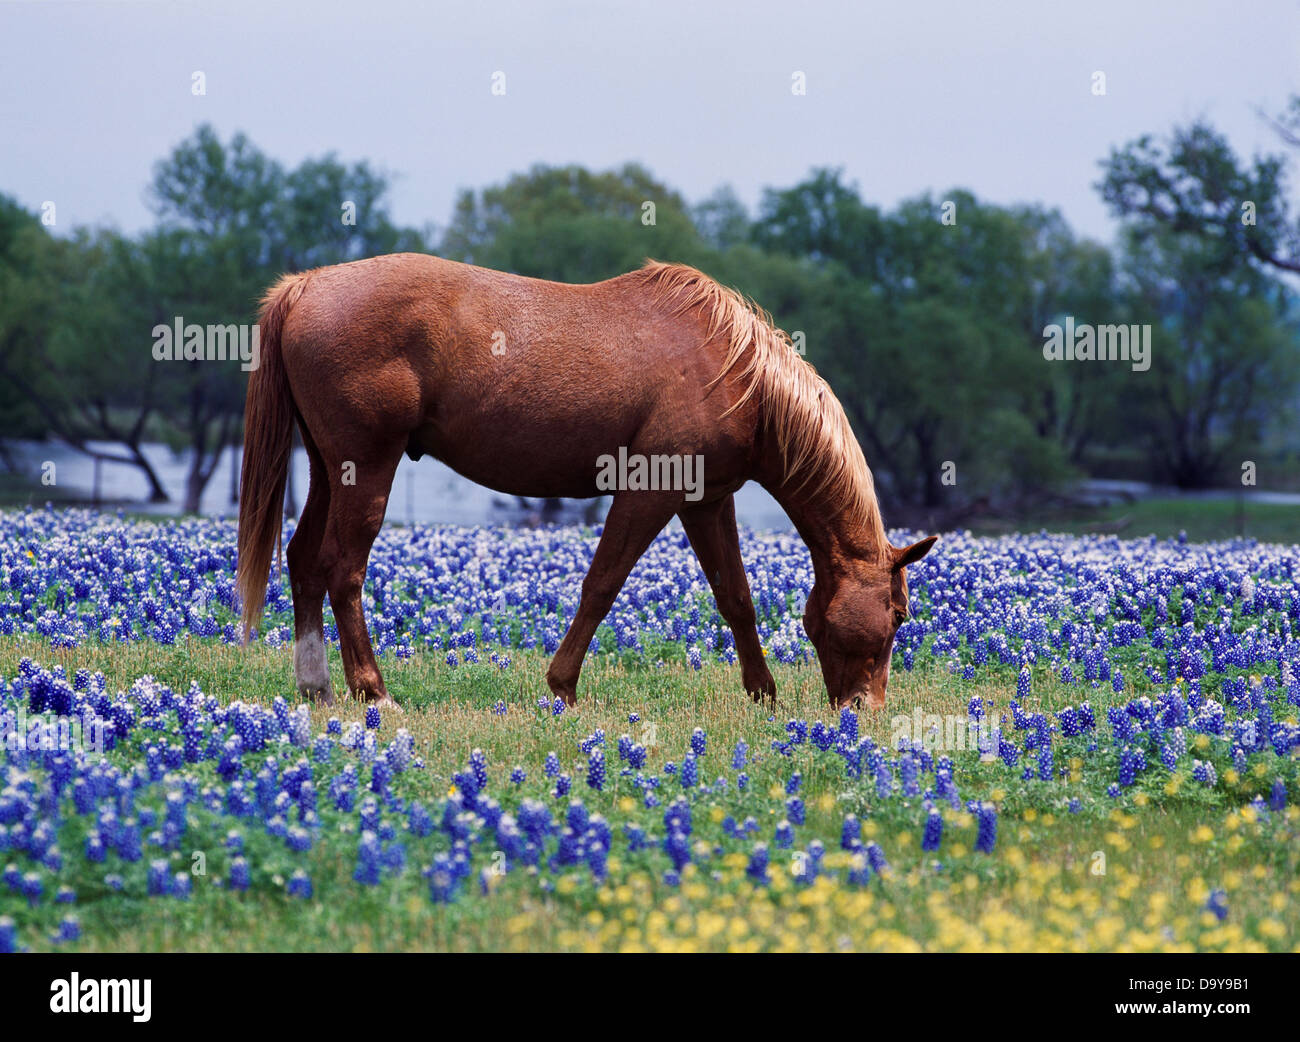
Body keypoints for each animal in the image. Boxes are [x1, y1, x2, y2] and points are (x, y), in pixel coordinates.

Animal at [235, 253, 936, 711]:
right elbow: (602, 585)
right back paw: (373, 691)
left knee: (303, 560)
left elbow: (735, 597)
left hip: (329, 470)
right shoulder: (650, 494)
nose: (865, 713)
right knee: (342, 570)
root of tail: (304, 288)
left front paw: (763, 696)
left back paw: (317, 688)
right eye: (899, 614)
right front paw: (563, 687)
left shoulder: (706, 501)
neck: (738, 375)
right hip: (367, 471)